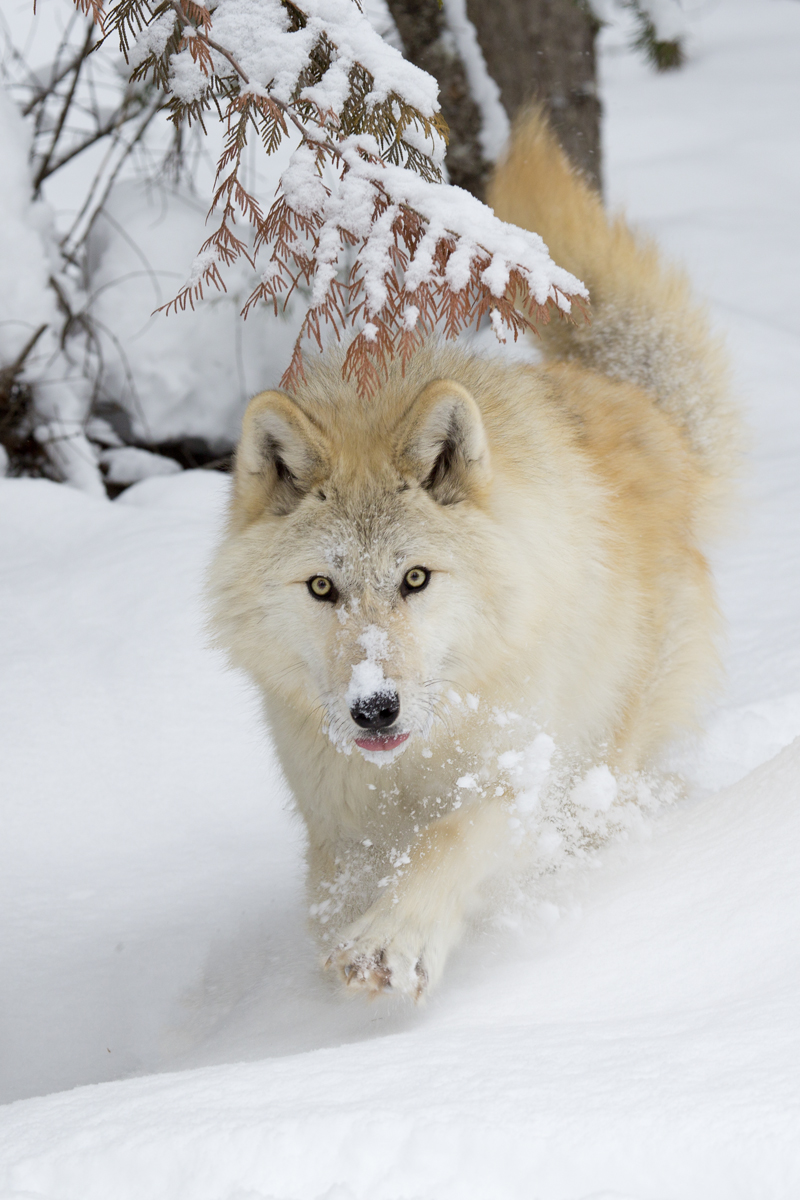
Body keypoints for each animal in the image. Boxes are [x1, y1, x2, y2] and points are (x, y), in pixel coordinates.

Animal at [208, 109, 740, 1000]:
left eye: (416, 579)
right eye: (321, 588)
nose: (374, 708)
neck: (412, 761)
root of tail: (639, 404)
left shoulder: (518, 782)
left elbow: (447, 842)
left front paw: (393, 940)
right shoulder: (337, 823)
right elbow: (334, 888)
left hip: (604, 746)